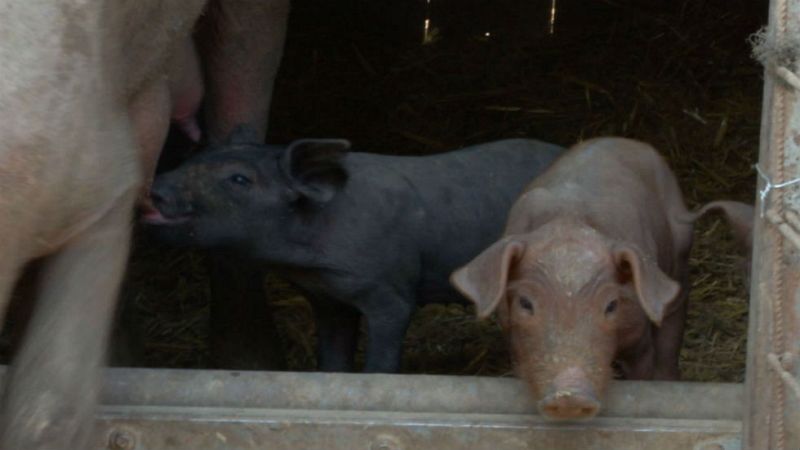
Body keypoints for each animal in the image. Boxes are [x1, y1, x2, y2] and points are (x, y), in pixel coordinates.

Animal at [142, 136, 564, 372]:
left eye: (239, 179)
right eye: (192, 158)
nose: (155, 189)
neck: (314, 264)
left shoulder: (391, 290)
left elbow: (381, 359)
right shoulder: (328, 300)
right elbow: (331, 360)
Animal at [450, 137, 748, 421]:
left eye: (611, 305)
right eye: (525, 302)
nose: (570, 395)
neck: (569, 221)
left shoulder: (640, 339)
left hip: (679, 257)